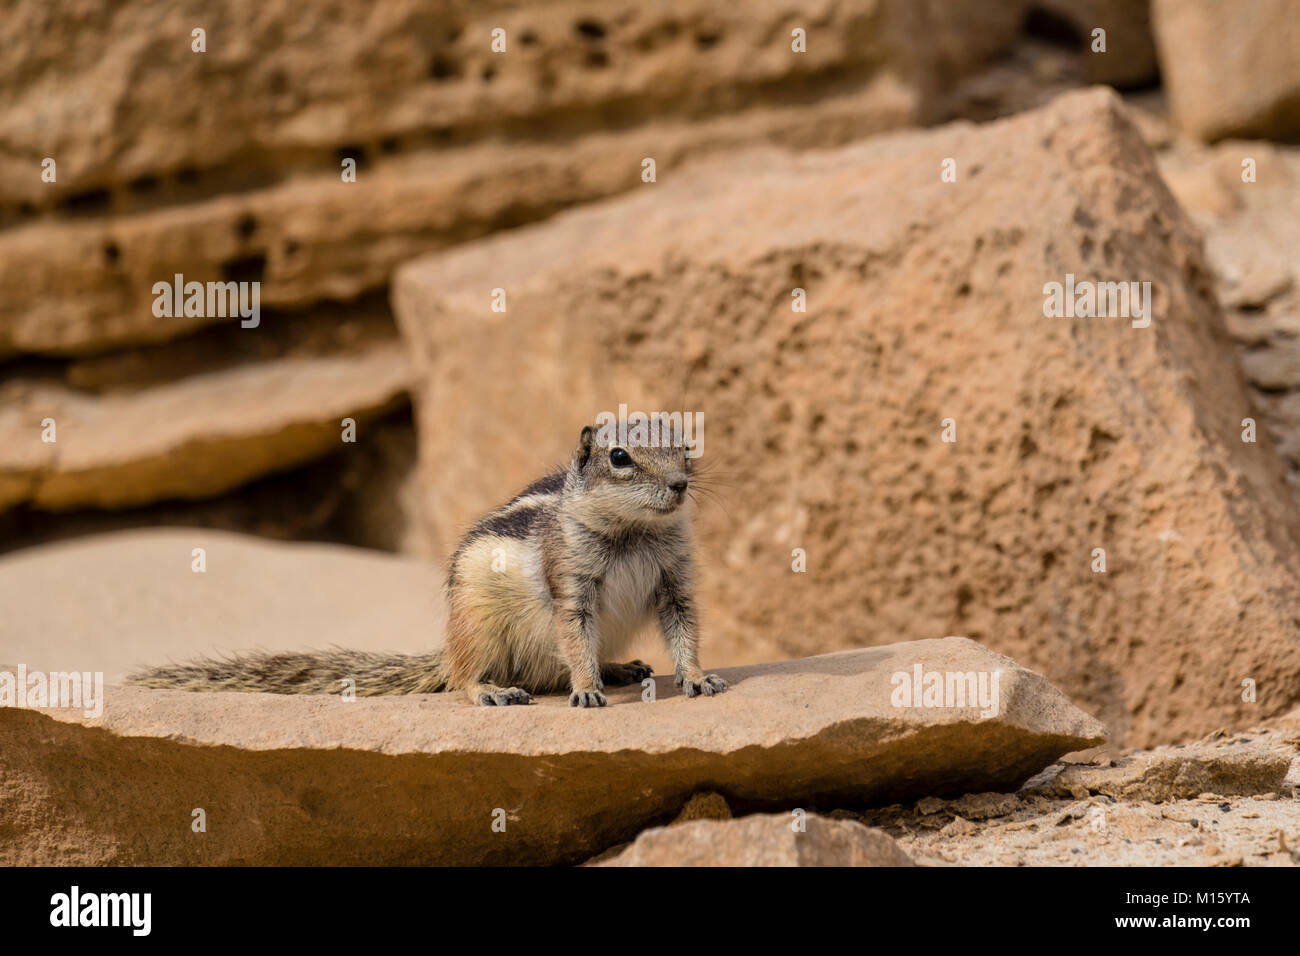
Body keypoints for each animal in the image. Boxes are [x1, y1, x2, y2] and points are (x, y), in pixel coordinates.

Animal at [127, 423, 729, 708]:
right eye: (620, 458)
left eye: (685, 448)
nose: (680, 485)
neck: (633, 531)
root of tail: (446, 650)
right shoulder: (571, 584)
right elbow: (574, 635)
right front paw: (585, 689)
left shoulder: (675, 581)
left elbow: (684, 629)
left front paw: (698, 677)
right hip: (479, 624)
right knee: (466, 678)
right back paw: (491, 690)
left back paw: (620, 667)